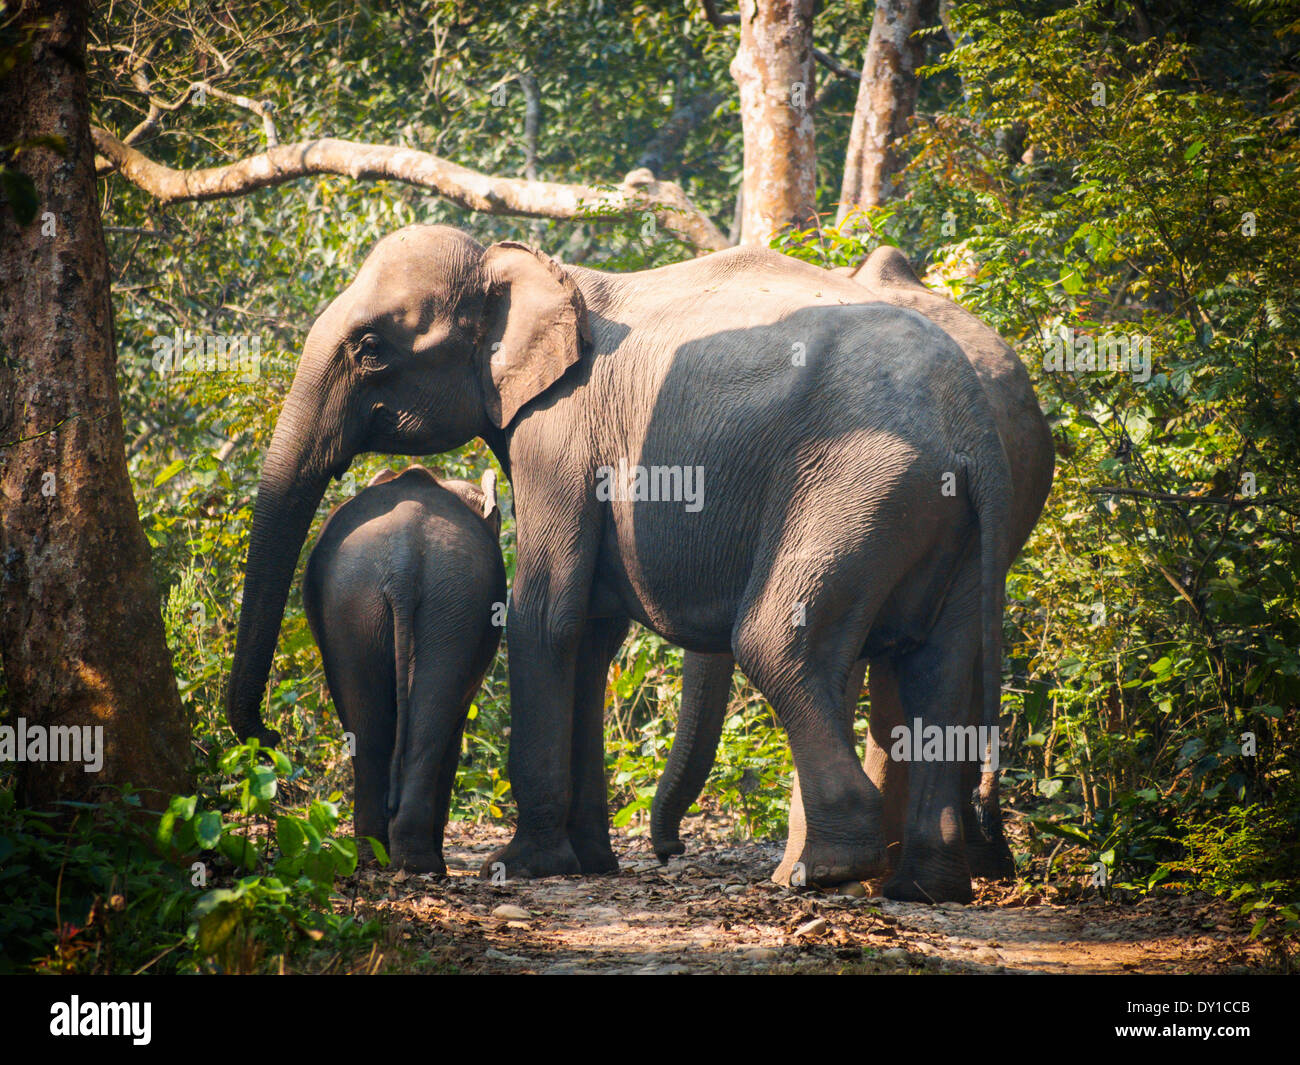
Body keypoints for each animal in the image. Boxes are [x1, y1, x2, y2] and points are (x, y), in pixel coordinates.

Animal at [301, 464, 505, 874]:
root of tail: (404, 561)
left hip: (394, 600)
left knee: (379, 726)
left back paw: (392, 858)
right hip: (421, 597)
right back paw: (415, 861)